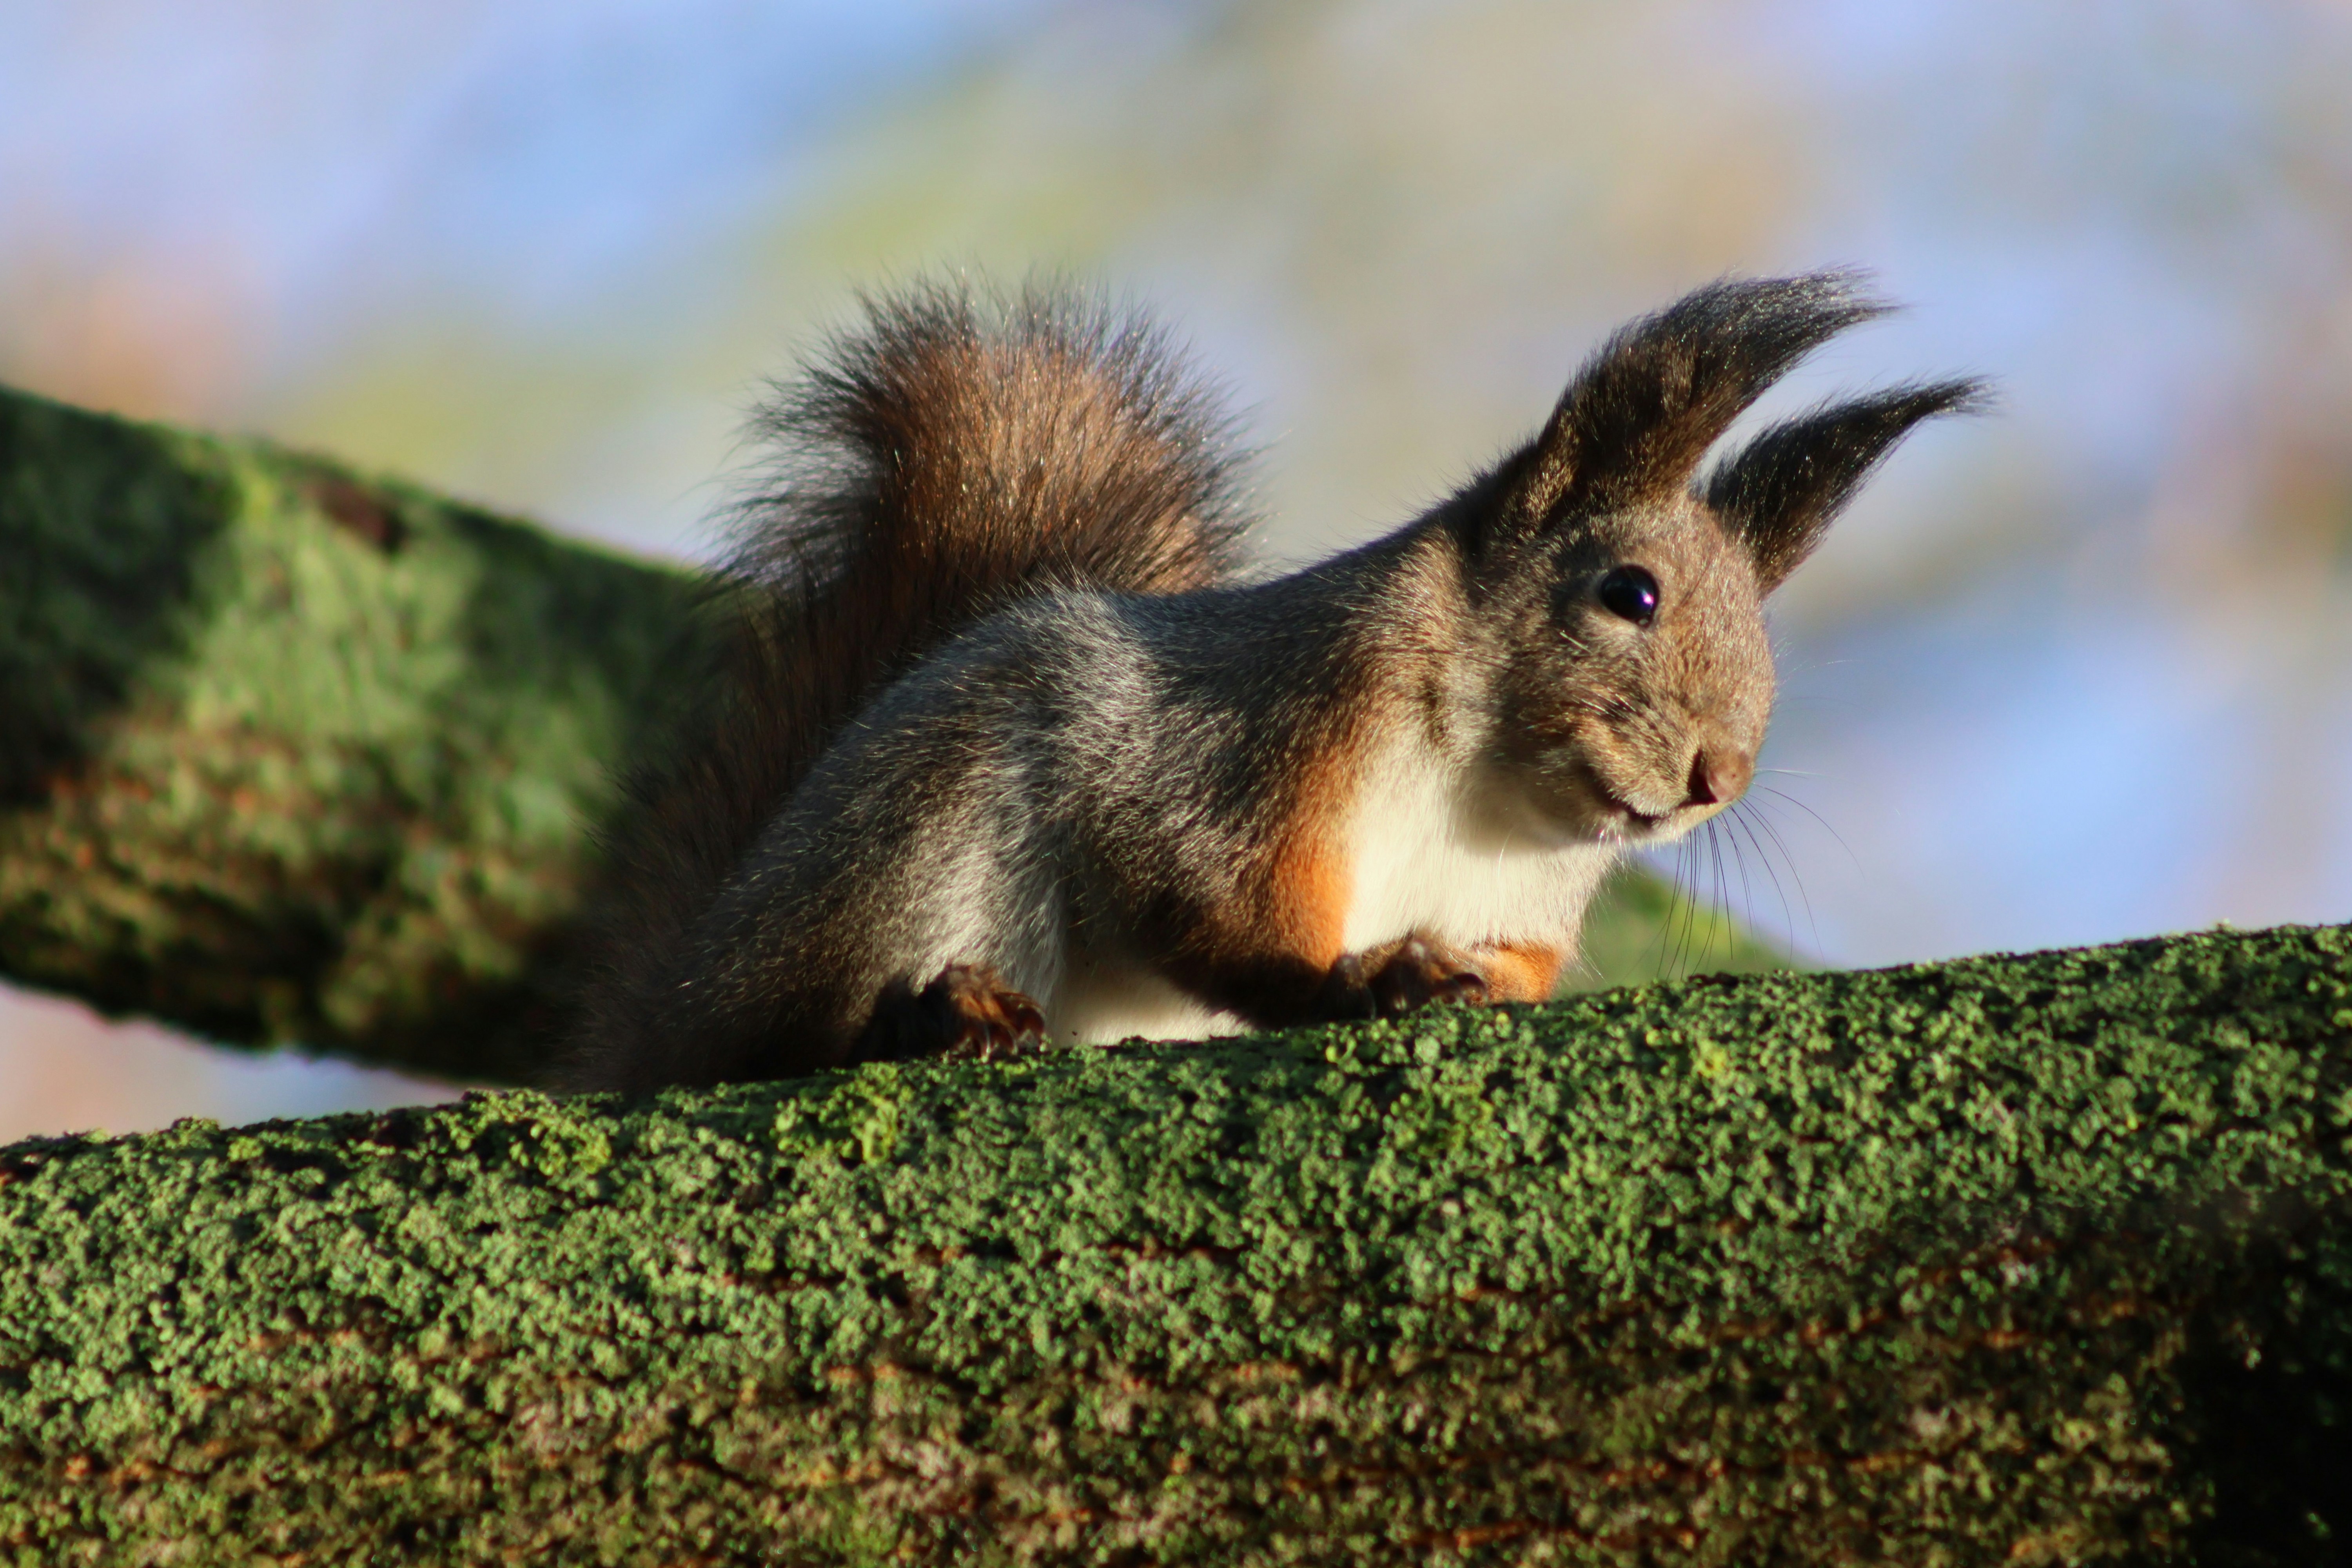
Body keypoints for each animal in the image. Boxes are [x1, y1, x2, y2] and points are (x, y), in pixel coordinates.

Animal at [564, 271, 1982, 1095]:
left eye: (1768, 651)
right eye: (1628, 595)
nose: (1716, 778)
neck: (1492, 791)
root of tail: (667, 1009)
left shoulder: (1529, 910)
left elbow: (1513, 971)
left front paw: (1450, 985)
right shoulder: (1261, 746)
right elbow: (1204, 899)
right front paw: (1354, 984)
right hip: (917, 849)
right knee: (780, 1041)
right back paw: (923, 1014)